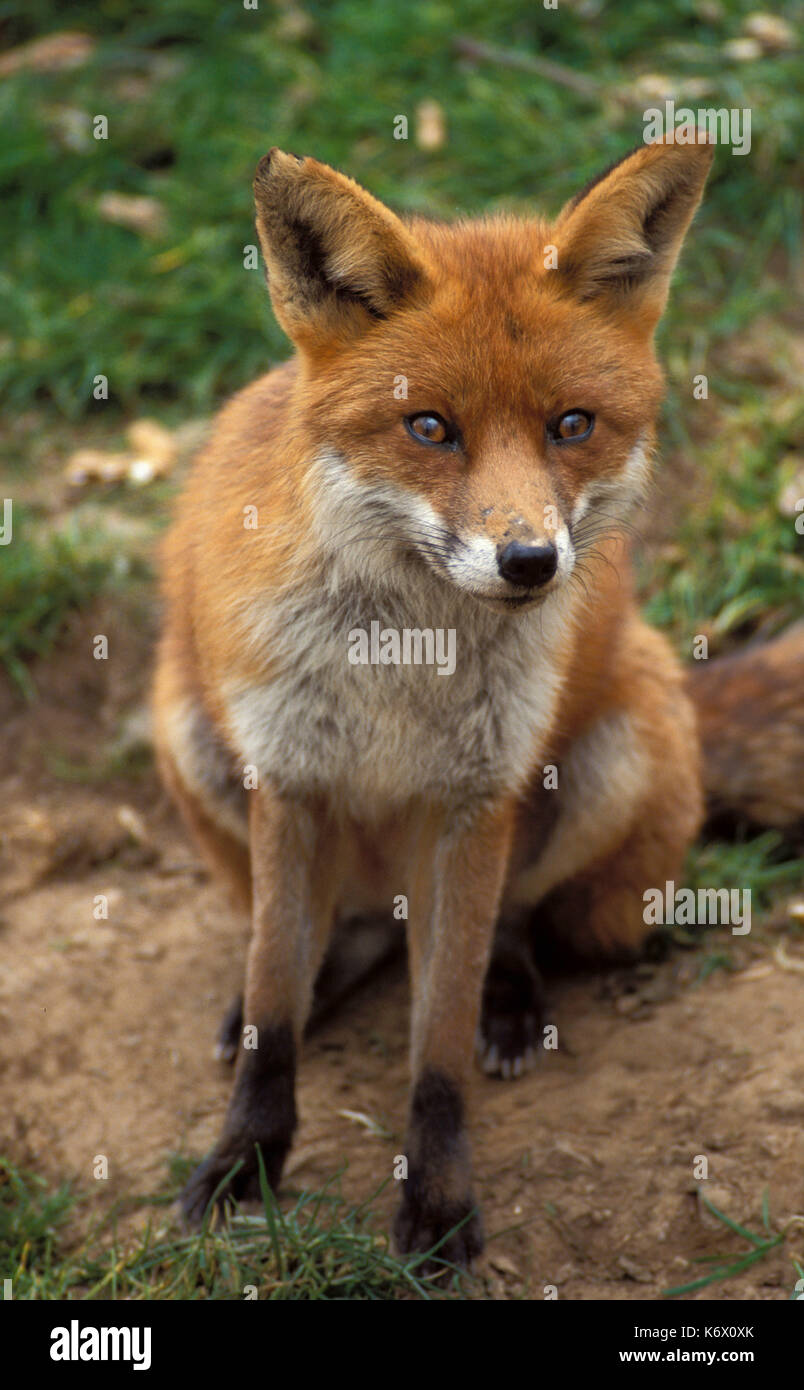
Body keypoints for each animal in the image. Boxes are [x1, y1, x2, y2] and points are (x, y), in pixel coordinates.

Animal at [153, 130, 803, 1266]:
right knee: (336, 940)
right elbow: (276, 1016)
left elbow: (439, 1044)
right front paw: (243, 1162)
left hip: (609, 761)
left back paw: (511, 1002)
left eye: (572, 425)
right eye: (429, 427)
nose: (531, 561)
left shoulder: (474, 802)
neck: (400, 663)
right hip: (191, 735)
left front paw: (440, 1203)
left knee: (515, 926)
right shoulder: (289, 780)